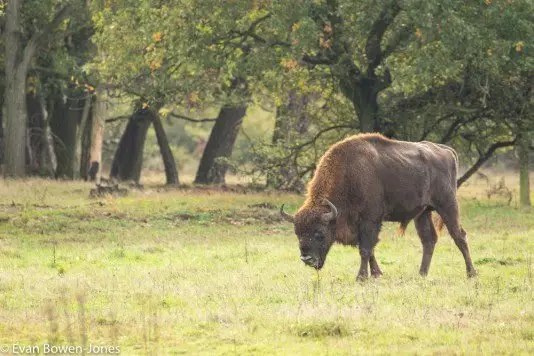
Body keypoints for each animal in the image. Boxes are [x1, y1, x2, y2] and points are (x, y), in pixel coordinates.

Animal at [282, 132, 480, 280]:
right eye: (297, 233)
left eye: (320, 234)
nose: (307, 259)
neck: (348, 175)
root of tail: (445, 151)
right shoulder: (361, 225)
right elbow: (369, 250)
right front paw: (377, 274)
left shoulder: (370, 220)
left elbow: (365, 249)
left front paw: (361, 277)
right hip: (423, 213)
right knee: (428, 239)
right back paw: (421, 274)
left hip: (447, 205)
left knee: (459, 236)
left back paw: (471, 274)